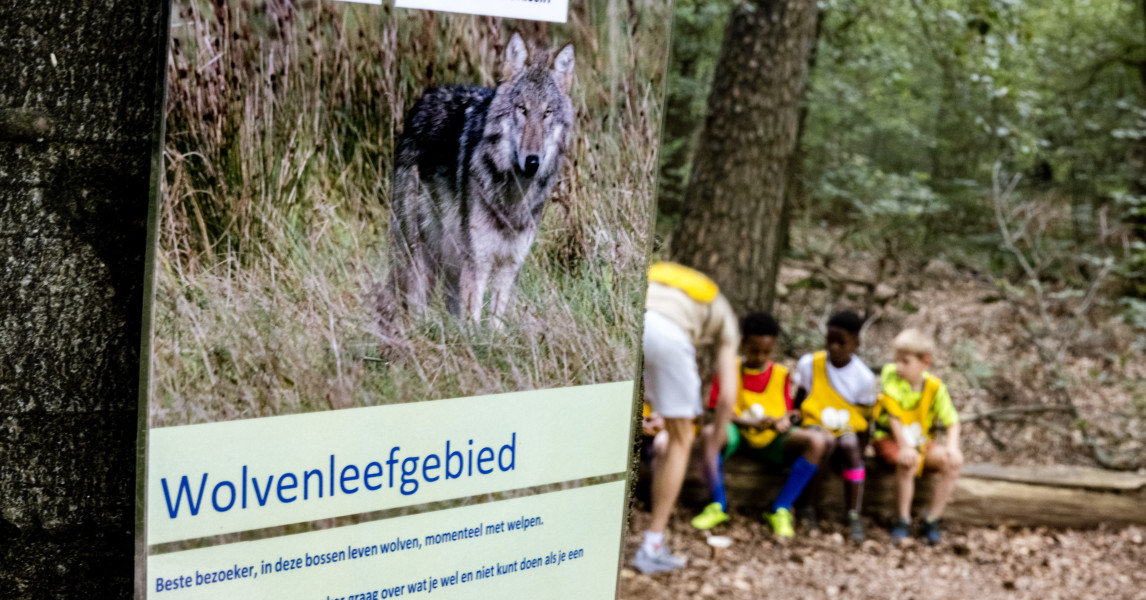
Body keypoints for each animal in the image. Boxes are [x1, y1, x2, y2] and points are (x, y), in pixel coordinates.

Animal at [385, 33, 575, 326]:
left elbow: (495, 322)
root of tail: (425, 98)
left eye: (547, 113)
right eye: (522, 109)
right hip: (418, 251)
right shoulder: (478, 262)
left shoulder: (509, 266)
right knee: (416, 301)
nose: (532, 162)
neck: (512, 197)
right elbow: (473, 319)